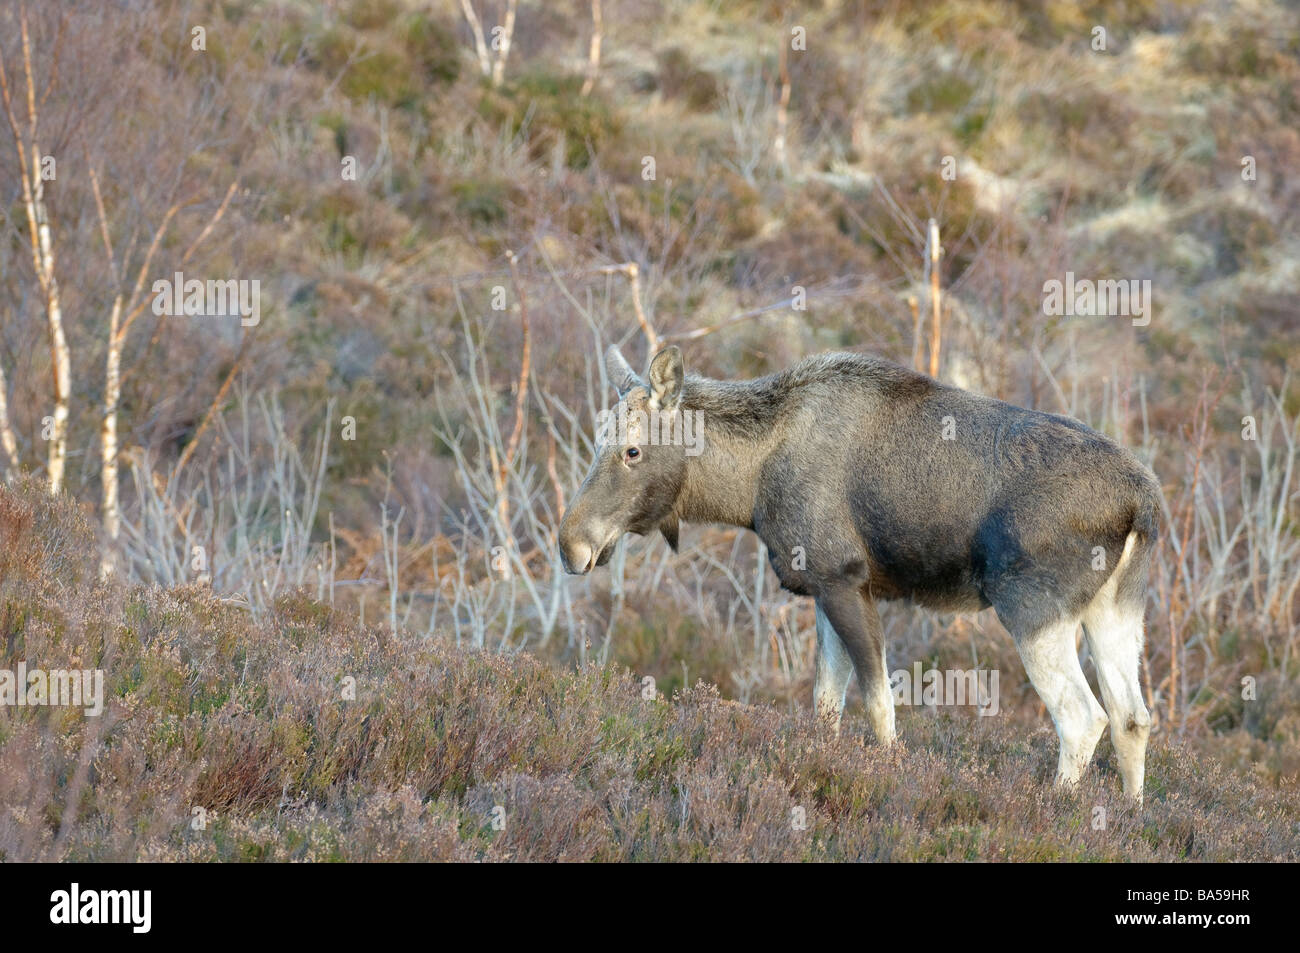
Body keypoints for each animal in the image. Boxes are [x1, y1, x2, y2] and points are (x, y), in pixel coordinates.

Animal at [558, 345, 1163, 802]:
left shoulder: (842, 578)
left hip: (1033, 608)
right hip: (1116, 609)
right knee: (1133, 716)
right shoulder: (827, 588)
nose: (571, 544)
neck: (747, 487)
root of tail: (1144, 502)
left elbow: (878, 704)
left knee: (1083, 717)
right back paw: (1128, 819)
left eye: (632, 451)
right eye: (597, 441)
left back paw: (1056, 809)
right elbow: (827, 704)